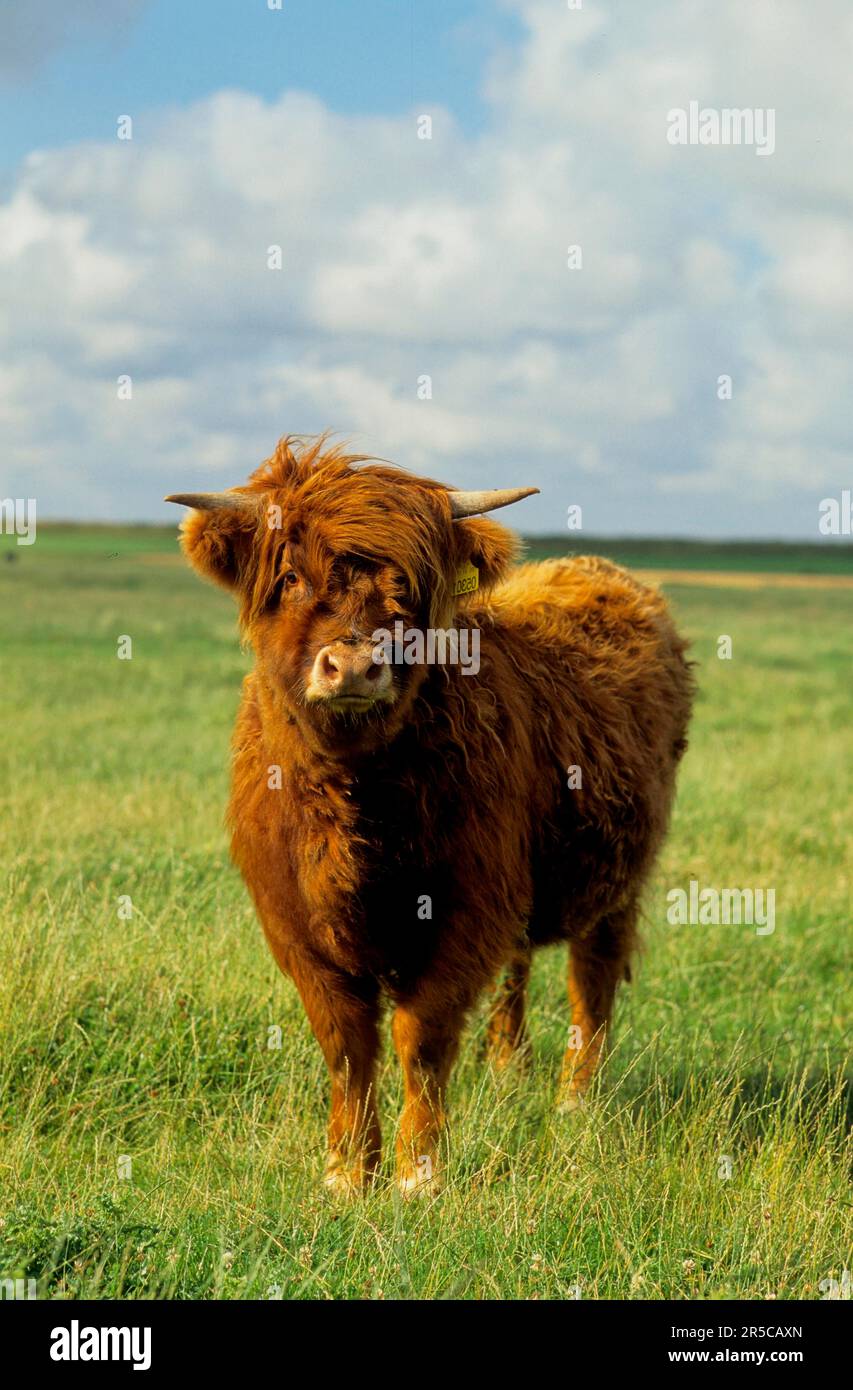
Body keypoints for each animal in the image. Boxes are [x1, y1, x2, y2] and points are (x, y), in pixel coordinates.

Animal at [167, 435, 694, 1198]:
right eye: (290, 577)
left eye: (407, 590)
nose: (354, 667)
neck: (354, 799)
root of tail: (597, 569)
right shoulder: (292, 922)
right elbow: (346, 1044)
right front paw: (347, 1173)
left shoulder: (466, 907)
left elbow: (421, 1036)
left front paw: (419, 1174)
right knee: (520, 965)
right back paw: (507, 1068)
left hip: (620, 874)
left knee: (592, 979)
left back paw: (574, 1100)